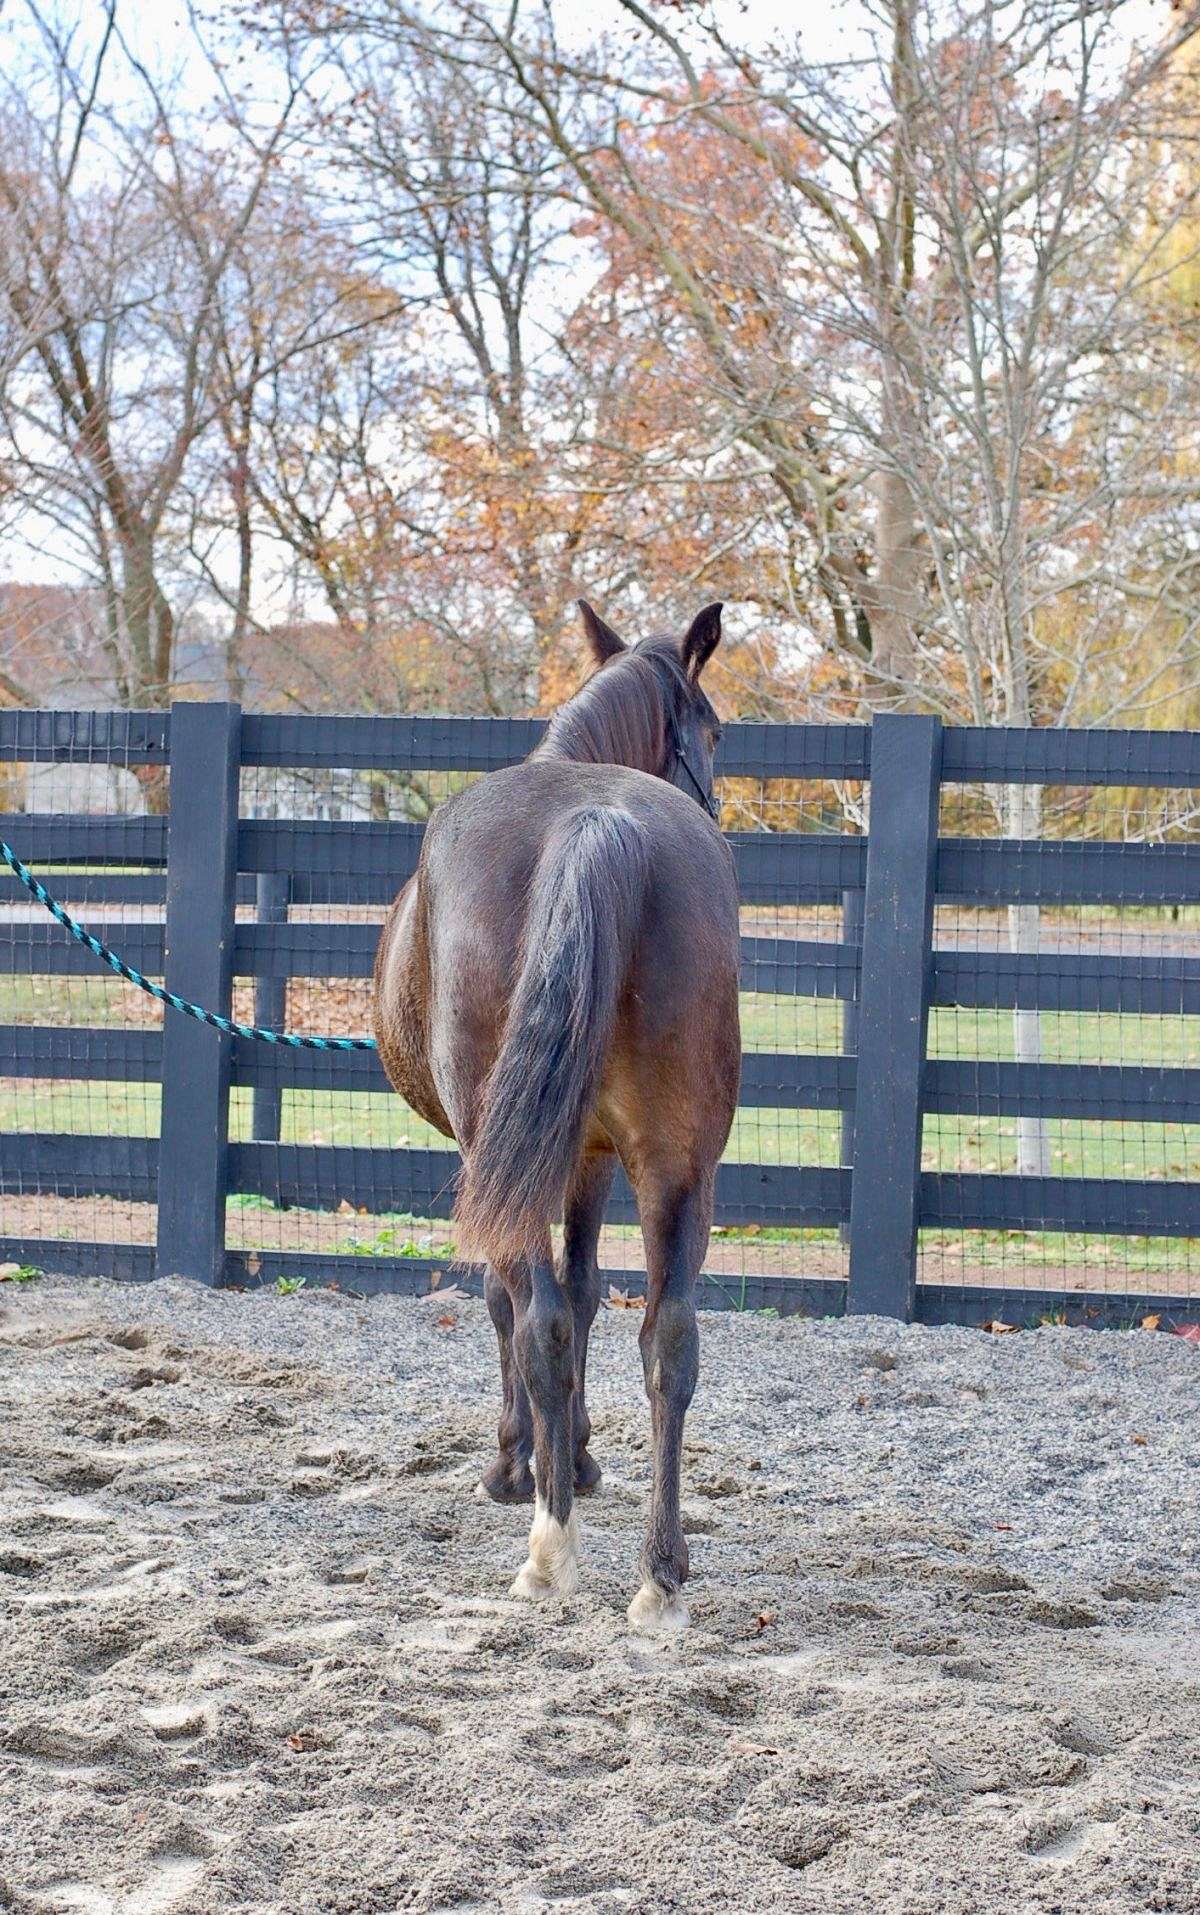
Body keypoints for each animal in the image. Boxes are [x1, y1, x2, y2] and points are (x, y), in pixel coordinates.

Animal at [372, 601, 741, 1629]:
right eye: (714, 729)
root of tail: (595, 820)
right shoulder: (594, 1156)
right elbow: (587, 1296)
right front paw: (568, 1455)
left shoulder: (521, 1157)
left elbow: (523, 1306)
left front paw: (529, 1462)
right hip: (679, 1161)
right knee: (669, 1335)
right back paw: (661, 1570)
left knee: (535, 1316)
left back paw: (549, 1542)